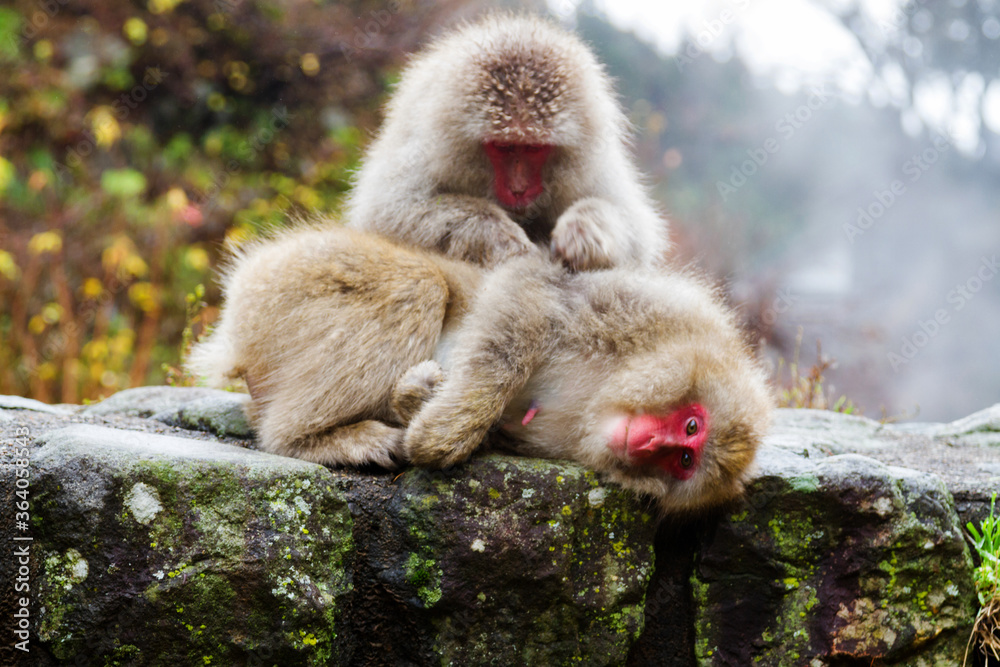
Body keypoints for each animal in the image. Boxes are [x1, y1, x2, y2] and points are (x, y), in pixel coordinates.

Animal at [189, 226, 772, 514]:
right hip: (294, 282)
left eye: (683, 462)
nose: (651, 444)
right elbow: (526, 296)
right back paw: (312, 438)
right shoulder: (641, 308)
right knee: (420, 285)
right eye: (692, 425)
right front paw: (438, 435)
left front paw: (417, 400)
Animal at [345, 13, 669, 271]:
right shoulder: (424, 152)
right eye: (502, 147)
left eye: (534, 148)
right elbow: (389, 208)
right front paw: (501, 239)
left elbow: (638, 233)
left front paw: (585, 230)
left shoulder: (594, 164)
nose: (518, 188)